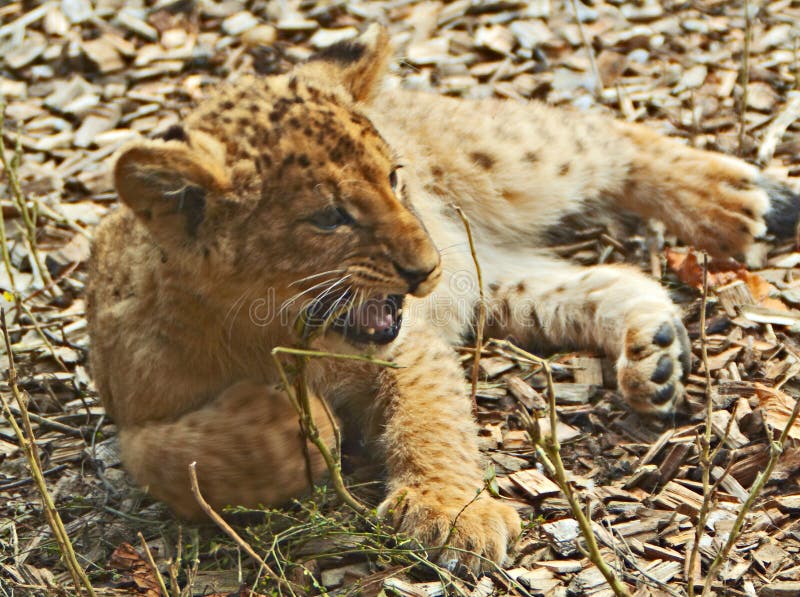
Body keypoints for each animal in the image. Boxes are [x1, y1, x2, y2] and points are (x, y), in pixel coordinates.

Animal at [87, 25, 799, 572]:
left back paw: (736, 203)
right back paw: (653, 353)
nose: (423, 269)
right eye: (329, 218)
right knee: (604, 279)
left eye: (394, 177)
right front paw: (292, 421)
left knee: (601, 135)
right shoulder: (133, 417)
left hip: (510, 163)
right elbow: (180, 457)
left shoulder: (409, 347)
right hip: (494, 282)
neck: (271, 330)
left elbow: (432, 420)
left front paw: (451, 514)